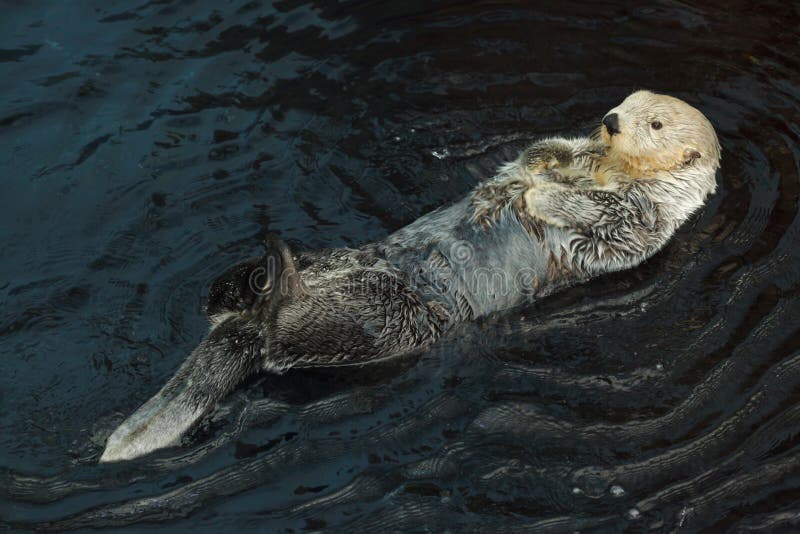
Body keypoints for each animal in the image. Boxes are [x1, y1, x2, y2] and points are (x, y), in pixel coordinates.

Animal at [100, 90, 721, 462]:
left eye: (654, 122)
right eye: (626, 102)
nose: (610, 121)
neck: (615, 171)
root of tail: (251, 322)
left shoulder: (644, 224)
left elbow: (605, 221)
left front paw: (544, 194)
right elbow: (537, 153)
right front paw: (555, 161)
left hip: (388, 320)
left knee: (290, 335)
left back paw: (278, 273)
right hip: (345, 264)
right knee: (230, 301)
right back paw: (257, 271)